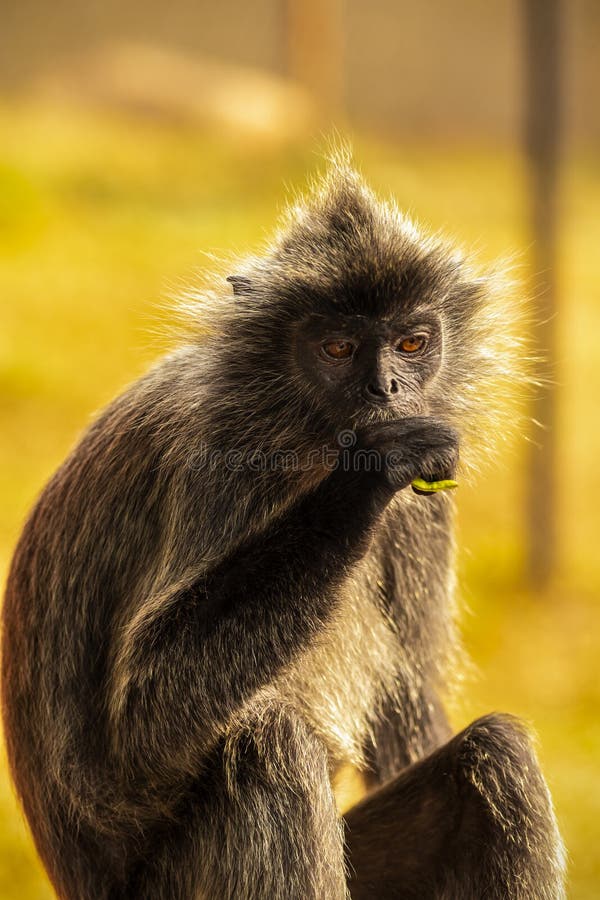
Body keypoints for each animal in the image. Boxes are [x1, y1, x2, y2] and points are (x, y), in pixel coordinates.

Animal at [1, 155, 566, 899]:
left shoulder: (426, 506)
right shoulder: (214, 459)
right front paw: (368, 472)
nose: (387, 390)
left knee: (495, 752)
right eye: (339, 347)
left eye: (413, 343)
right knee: (270, 739)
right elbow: (142, 723)